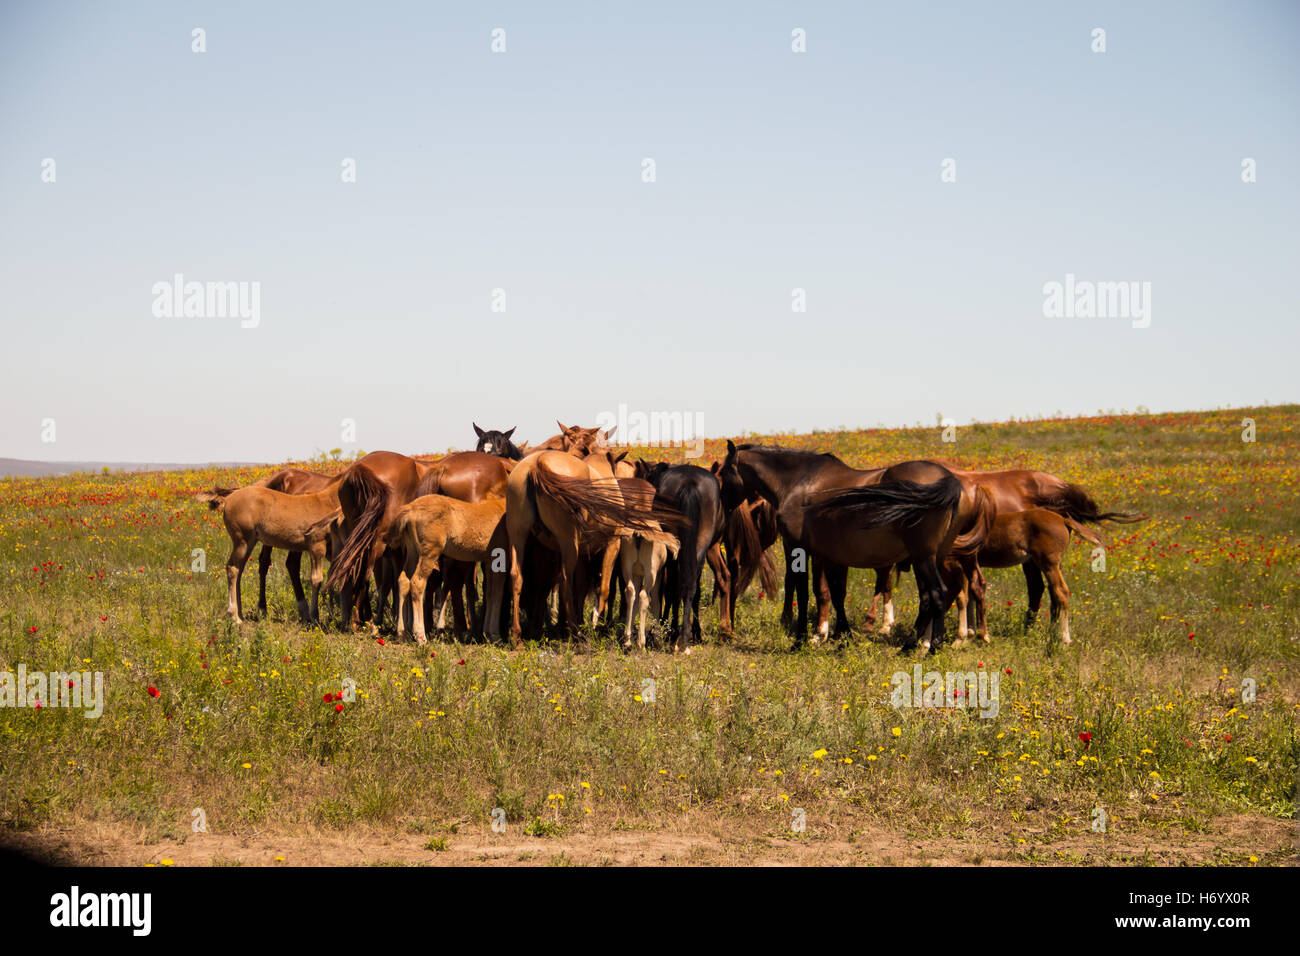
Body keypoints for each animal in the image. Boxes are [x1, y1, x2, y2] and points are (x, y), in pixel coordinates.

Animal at [198, 468, 341, 617]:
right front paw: (316, 616)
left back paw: (243, 612)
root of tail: (228, 499)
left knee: (241, 569)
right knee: (234, 568)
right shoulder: (317, 546)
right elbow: (318, 579)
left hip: (250, 542)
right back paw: (236, 614)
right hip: (242, 542)